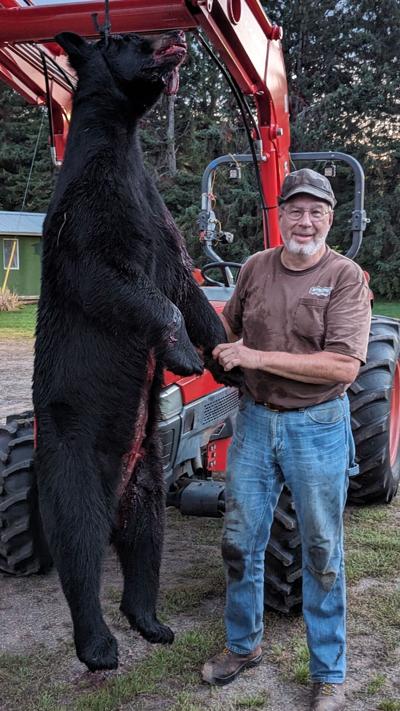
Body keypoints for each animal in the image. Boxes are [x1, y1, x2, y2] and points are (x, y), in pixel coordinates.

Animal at [32, 29, 241, 673]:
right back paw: (99, 647)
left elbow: (185, 287)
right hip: (72, 461)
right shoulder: (88, 218)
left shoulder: (157, 220)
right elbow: (120, 281)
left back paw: (151, 622)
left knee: (145, 542)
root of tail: (119, 484)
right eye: (127, 39)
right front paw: (185, 354)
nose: (174, 38)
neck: (122, 146)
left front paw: (224, 351)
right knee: (78, 543)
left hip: (148, 481)